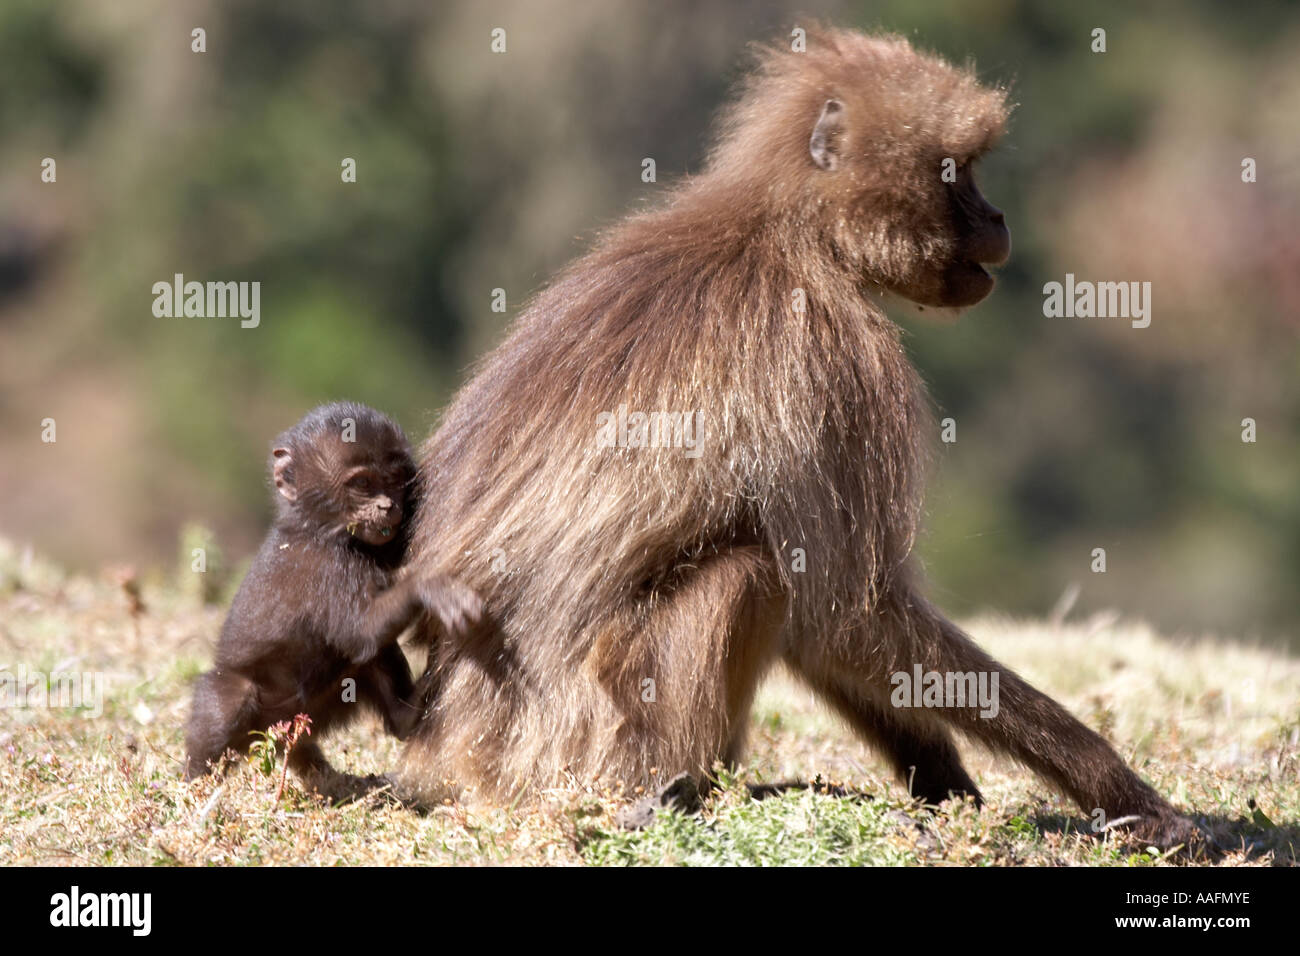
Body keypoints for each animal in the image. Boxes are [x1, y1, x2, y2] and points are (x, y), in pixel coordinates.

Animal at [184, 401, 483, 800]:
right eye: (362, 484)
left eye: (396, 479)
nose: (387, 506)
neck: (321, 530)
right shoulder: (327, 568)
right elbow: (359, 632)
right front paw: (429, 586)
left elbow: (366, 637)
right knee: (227, 704)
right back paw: (194, 787)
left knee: (370, 661)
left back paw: (408, 714)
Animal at [397, 29, 1198, 848]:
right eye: (957, 172)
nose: (1001, 217)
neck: (794, 229)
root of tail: (449, 746)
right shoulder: (840, 366)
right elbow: (848, 611)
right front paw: (1115, 786)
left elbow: (829, 628)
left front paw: (947, 788)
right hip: (578, 742)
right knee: (751, 575)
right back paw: (671, 795)